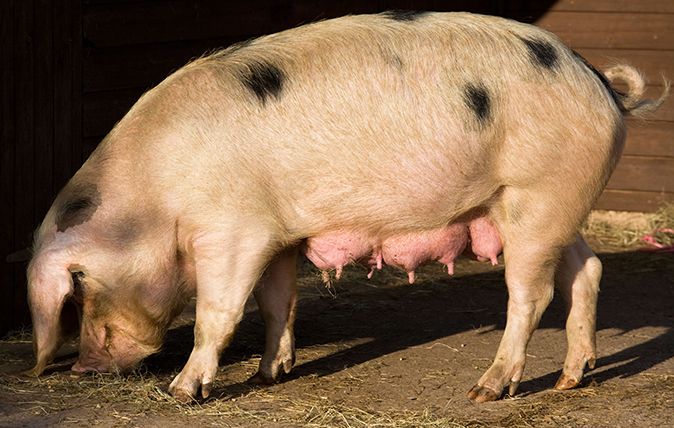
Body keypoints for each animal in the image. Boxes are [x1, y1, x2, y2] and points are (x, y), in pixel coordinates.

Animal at [25, 11, 669, 403]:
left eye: (79, 284)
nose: (80, 366)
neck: (154, 198)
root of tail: (603, 86)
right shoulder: (280, 234)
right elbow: (277, 302)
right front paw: (270, 374)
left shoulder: (234, 230)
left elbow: (218, 312)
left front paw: (183, 393)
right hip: (556, 203)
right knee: (587, 269)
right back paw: (569, 380)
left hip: (536, 195)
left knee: (529, 294)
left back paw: (486, 391)